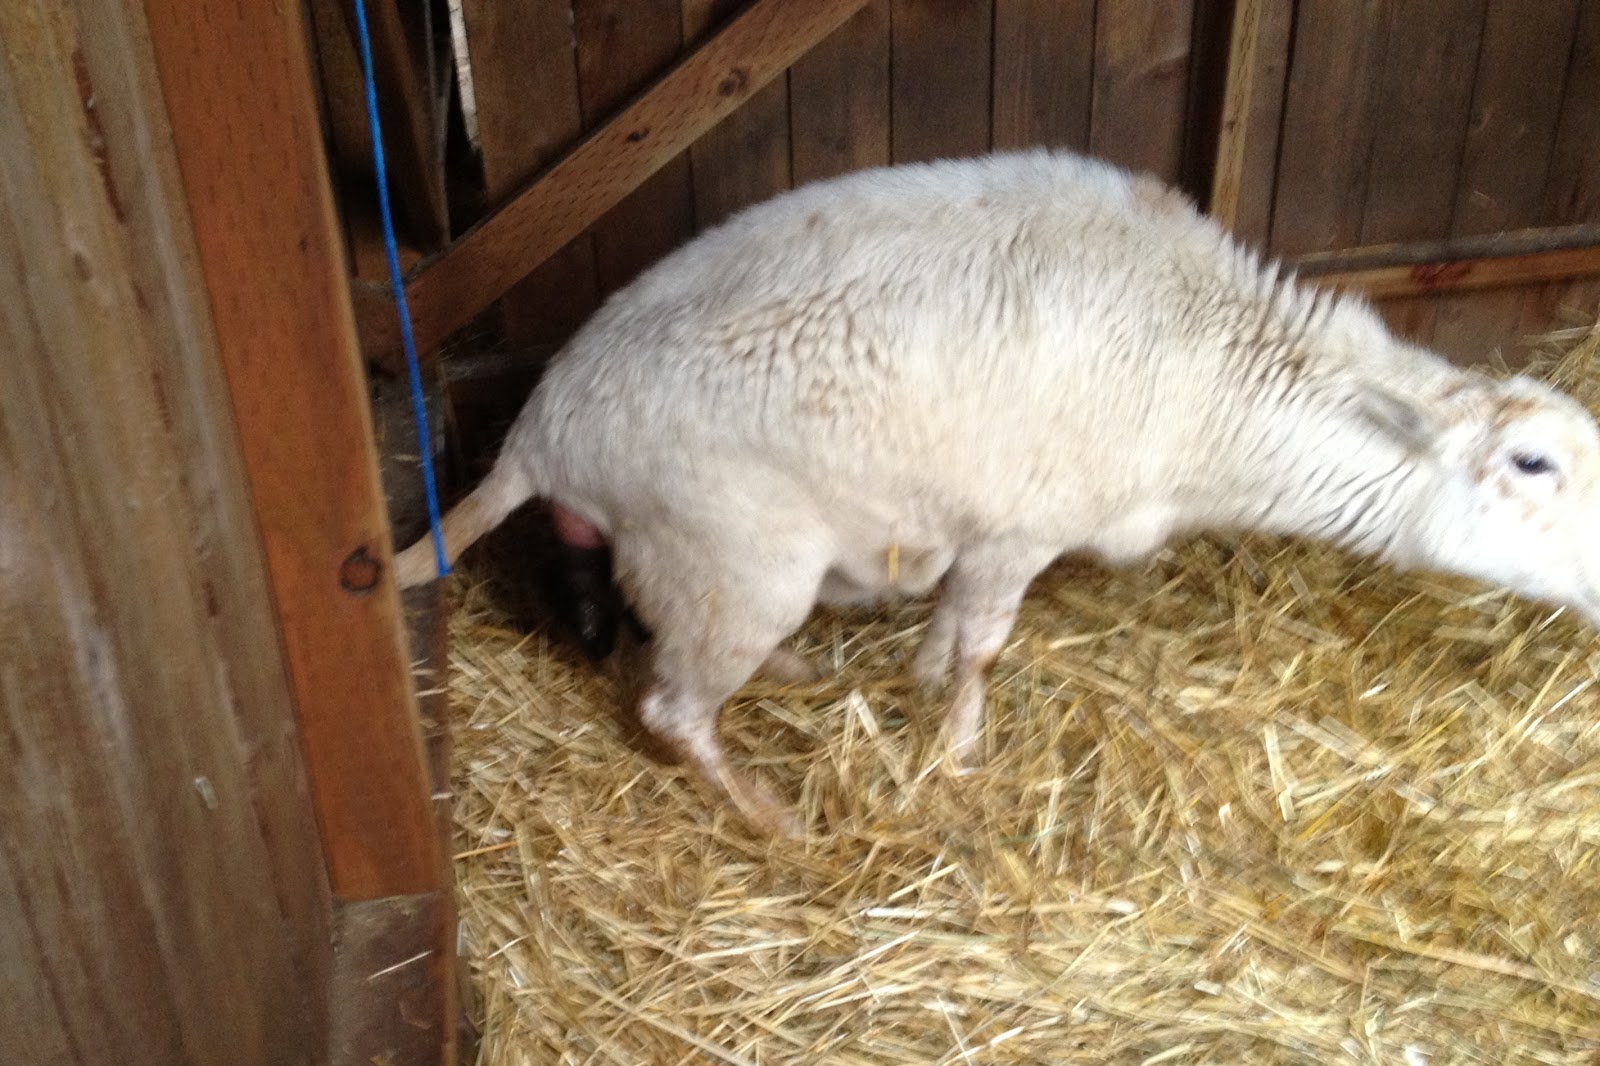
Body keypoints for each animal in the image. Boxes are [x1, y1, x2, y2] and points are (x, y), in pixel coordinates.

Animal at [395, 149, 1600, 836]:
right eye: (1531, 464)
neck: (1215, 382)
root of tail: (543, 429)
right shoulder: (1021, 527)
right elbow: (982, 648)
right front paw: (960, 752)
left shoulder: (977, 529)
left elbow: (946, 629)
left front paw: (925, 683)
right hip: (737, 557)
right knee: (671, 710)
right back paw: (766, 813)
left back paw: (787, 677)